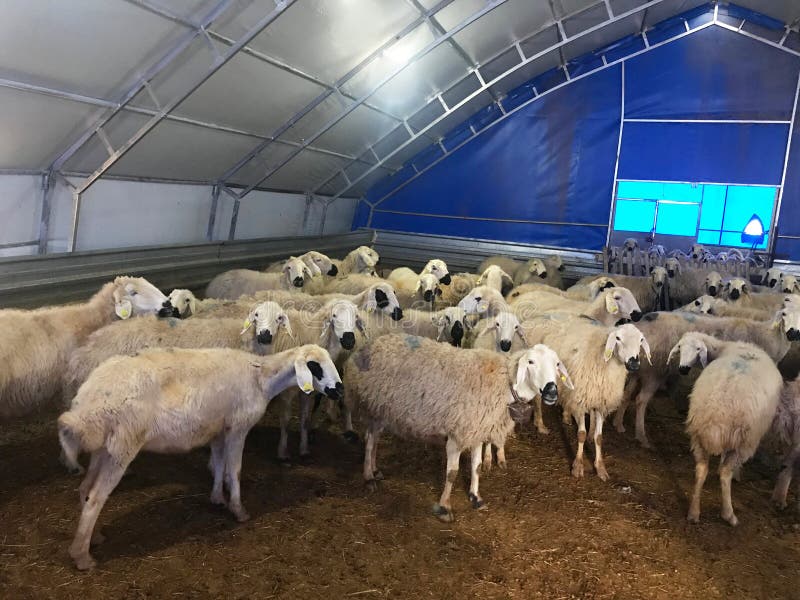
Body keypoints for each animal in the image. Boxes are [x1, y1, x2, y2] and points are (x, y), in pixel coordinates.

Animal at [58, 344, 341, 570]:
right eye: (314, 366)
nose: (339, 390)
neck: (260, 376)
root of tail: (87, 400)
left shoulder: (217, 430)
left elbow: (219, 464)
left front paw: (217, 498)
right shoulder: (238, 427)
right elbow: (234, 469)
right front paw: (238, 509)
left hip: (104, 447)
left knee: (85, 489)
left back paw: (92, 538)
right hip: (123, 446)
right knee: (96, 497)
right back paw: (81, 556)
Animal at [343, 334, 573, 521]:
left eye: (557, 364)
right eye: (531, 362)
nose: (552, 391)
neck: (505, 384)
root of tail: (366, 346)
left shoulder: (477, 431)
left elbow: (476, 466)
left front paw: (475, 497)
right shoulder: (457, 434)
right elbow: (452, 473)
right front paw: (444, 507)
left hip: (381, 410)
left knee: (374, 439)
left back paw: (375, 469)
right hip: (372, 405)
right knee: (369, 441)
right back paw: (368, 476)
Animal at [524, 319, 650, 480]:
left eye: (641, 340)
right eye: (618, 338)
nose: (634, 363)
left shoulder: (601, 403)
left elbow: (599, 437)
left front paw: (600, 467)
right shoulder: (580, 401)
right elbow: (581, 435)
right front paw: (578, 466)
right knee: (538, 400)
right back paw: (540, 425)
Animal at [668, 332, 782, 525]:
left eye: (697, 349)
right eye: (680, 347)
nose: (683, 369)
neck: (723, 348)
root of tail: (719, 409)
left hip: (698, 434)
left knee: (701, 469)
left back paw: (693, 512)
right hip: (743, 440)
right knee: (725, 473)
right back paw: (729, 513)